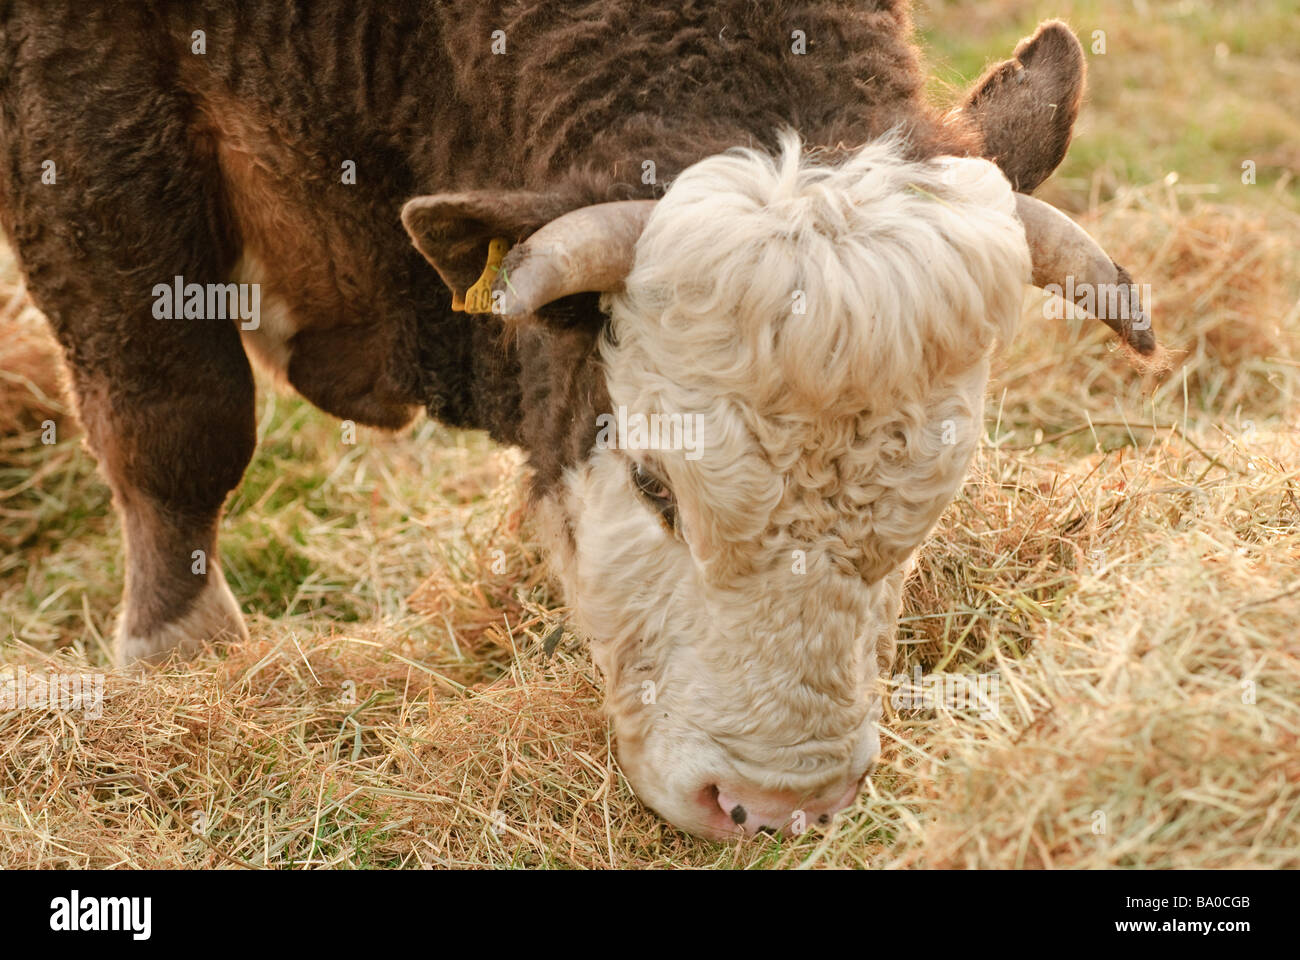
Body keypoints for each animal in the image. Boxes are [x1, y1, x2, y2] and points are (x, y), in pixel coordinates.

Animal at [0, 1, 1154, 840]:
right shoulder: (85, 111)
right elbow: (179, 422)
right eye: (653, 486)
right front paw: (180, 666)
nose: (777, 806)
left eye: (938, 500)